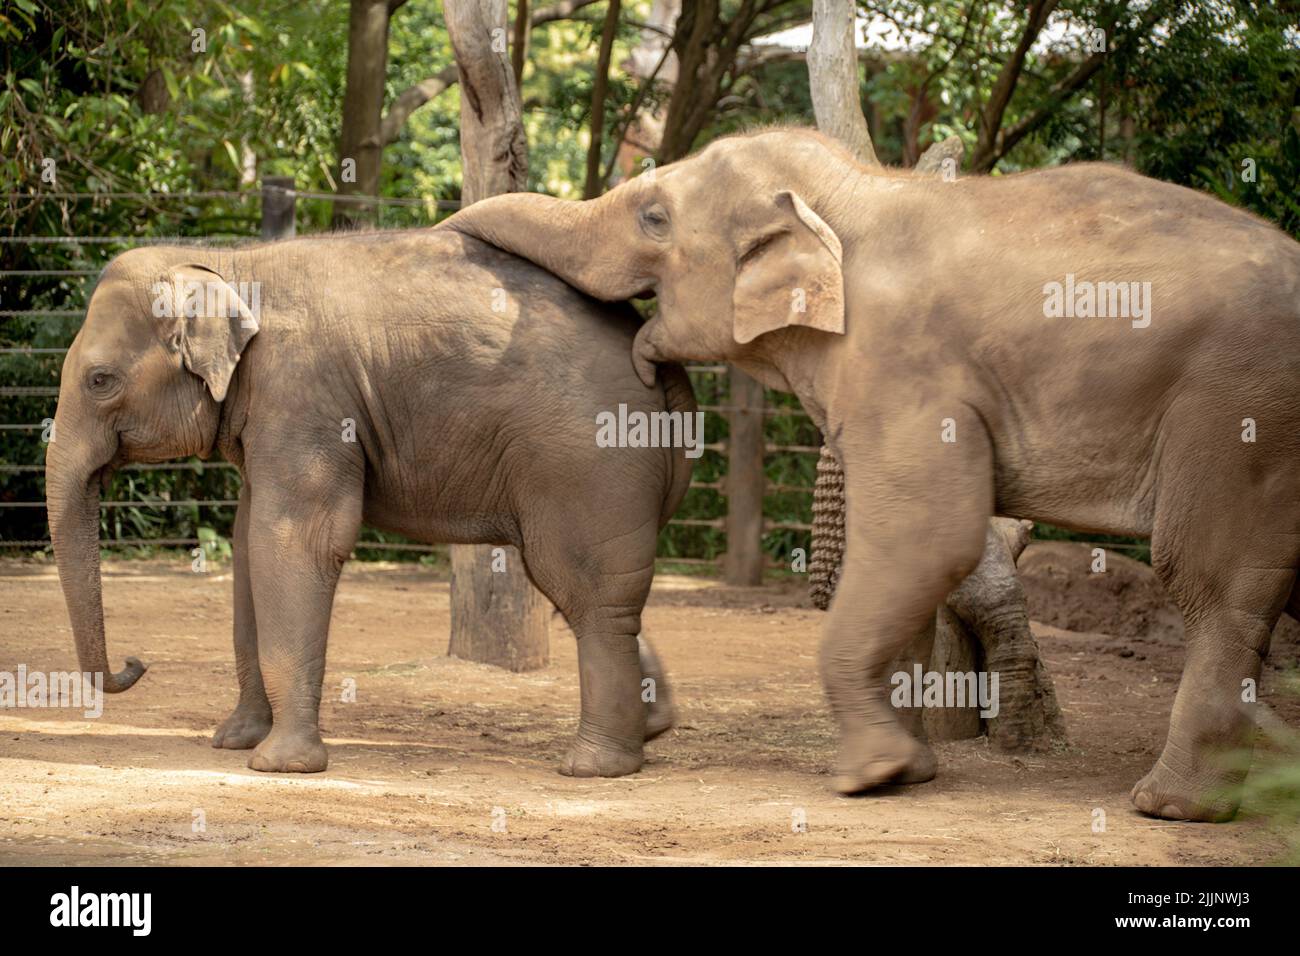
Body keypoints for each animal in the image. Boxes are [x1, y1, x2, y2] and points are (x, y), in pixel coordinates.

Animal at [46, 229, 696, 776]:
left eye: (100, 381)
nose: (135, 664)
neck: (231, 260)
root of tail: (659, 362)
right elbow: (248, 543)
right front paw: (234, 740)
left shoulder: (302, 396)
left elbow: (293, 541)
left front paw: (280, 765)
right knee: (584, 586)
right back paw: (652, 726)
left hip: (587, 457)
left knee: (585, 587)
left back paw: (594, 766)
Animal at [442, 126, 1300, 821]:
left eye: (655, 217)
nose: (446, 233)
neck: (858, 194)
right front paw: (910, 770)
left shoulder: (907, 368)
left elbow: (928, 539)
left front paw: (868, 777)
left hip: (1236, 411)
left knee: (1208, 579)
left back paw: (1170, 806)